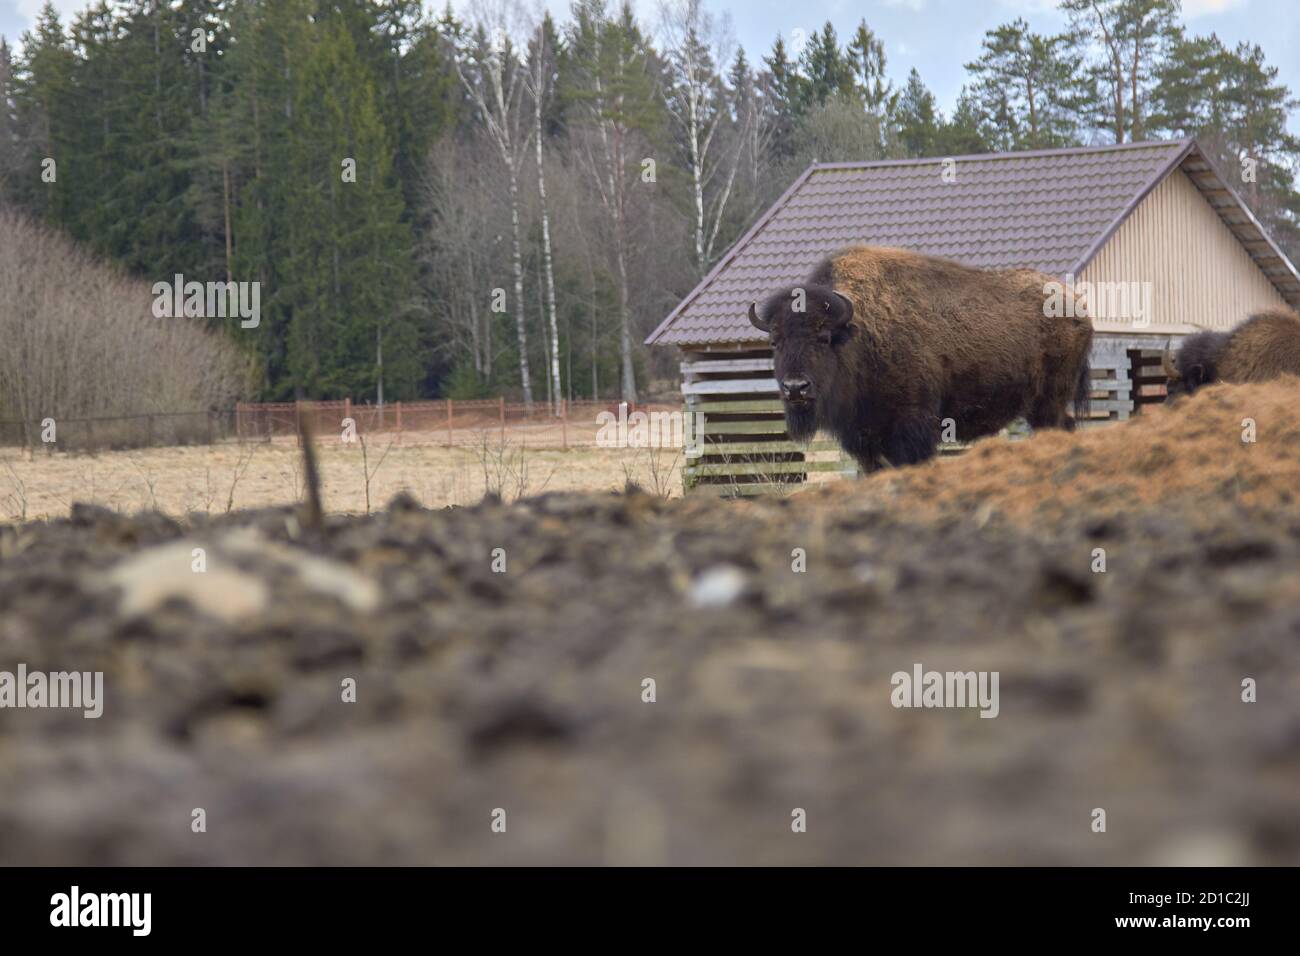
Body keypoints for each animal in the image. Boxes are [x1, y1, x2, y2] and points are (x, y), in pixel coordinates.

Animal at [747, 246, 1093, 472]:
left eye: (823, 337)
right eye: (775, 341)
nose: (795, 388)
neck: (859, 333)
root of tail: (1077, 305)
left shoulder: (911, 428)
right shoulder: (864, 438)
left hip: (1049, 400)